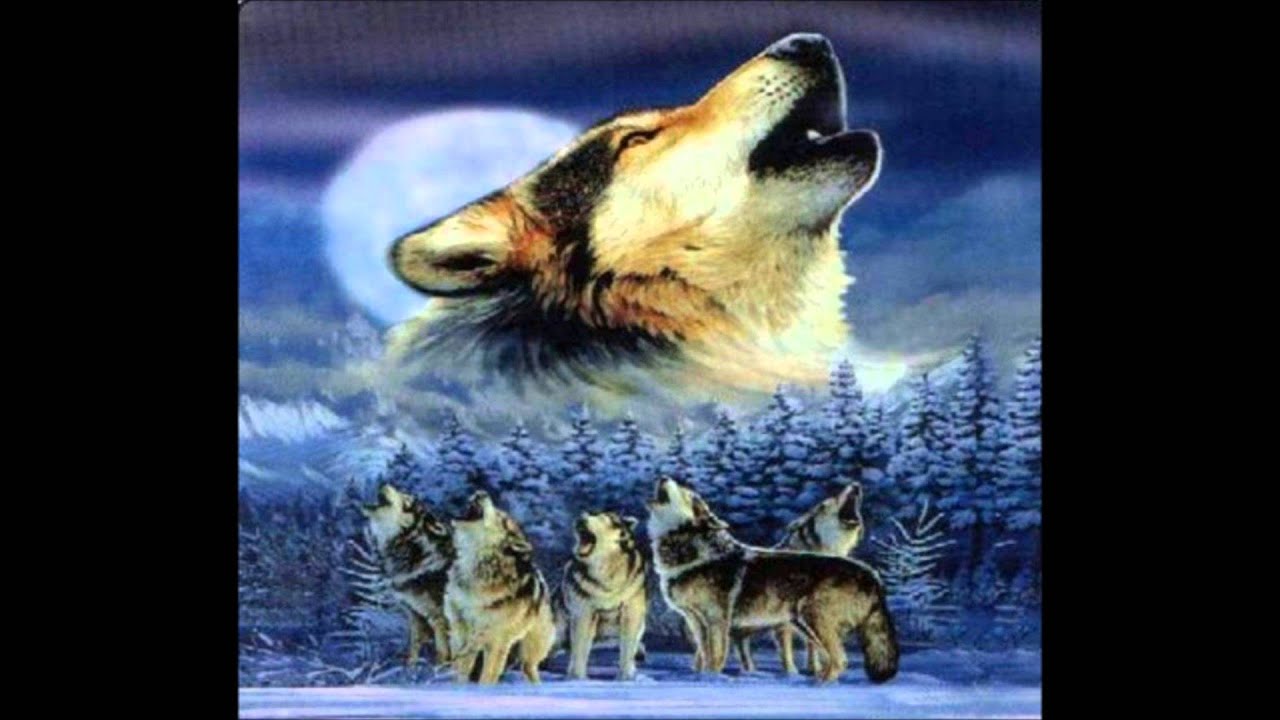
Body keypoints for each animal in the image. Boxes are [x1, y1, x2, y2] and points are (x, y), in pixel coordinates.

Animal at [360, 483, 454, 668]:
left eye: (407, 501)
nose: (384, 483)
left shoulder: (440, 617)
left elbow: (442, 652)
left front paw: (439, 672)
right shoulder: (414, 612)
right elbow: (414, 645)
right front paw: (411, 669)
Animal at [445, 491, 557, 684]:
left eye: (501, 518)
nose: (482, 493)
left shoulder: (495, 640)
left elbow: (486, 677)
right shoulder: (461, 631)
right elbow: (461, 672)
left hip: (528, 648)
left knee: (529, 668)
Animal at [554, 511, 648, 680]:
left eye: (603, 518)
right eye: (587, 514)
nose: (580, 519)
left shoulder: (631, 614)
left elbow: (627, 650)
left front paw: (625, 678)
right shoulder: (584, 613)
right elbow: (580, 651)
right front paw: (578, 679)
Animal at [647, 477, 897, 683]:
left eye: (686, 493)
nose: (663, 477)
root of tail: (872, 574)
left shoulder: (717, 621)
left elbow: (715, 658)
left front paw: (711, 681)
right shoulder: (695, 621)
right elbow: (702, 656)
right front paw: (700, 678)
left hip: (813, 621)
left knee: (839, 660)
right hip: (806, 626)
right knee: (832, 660)